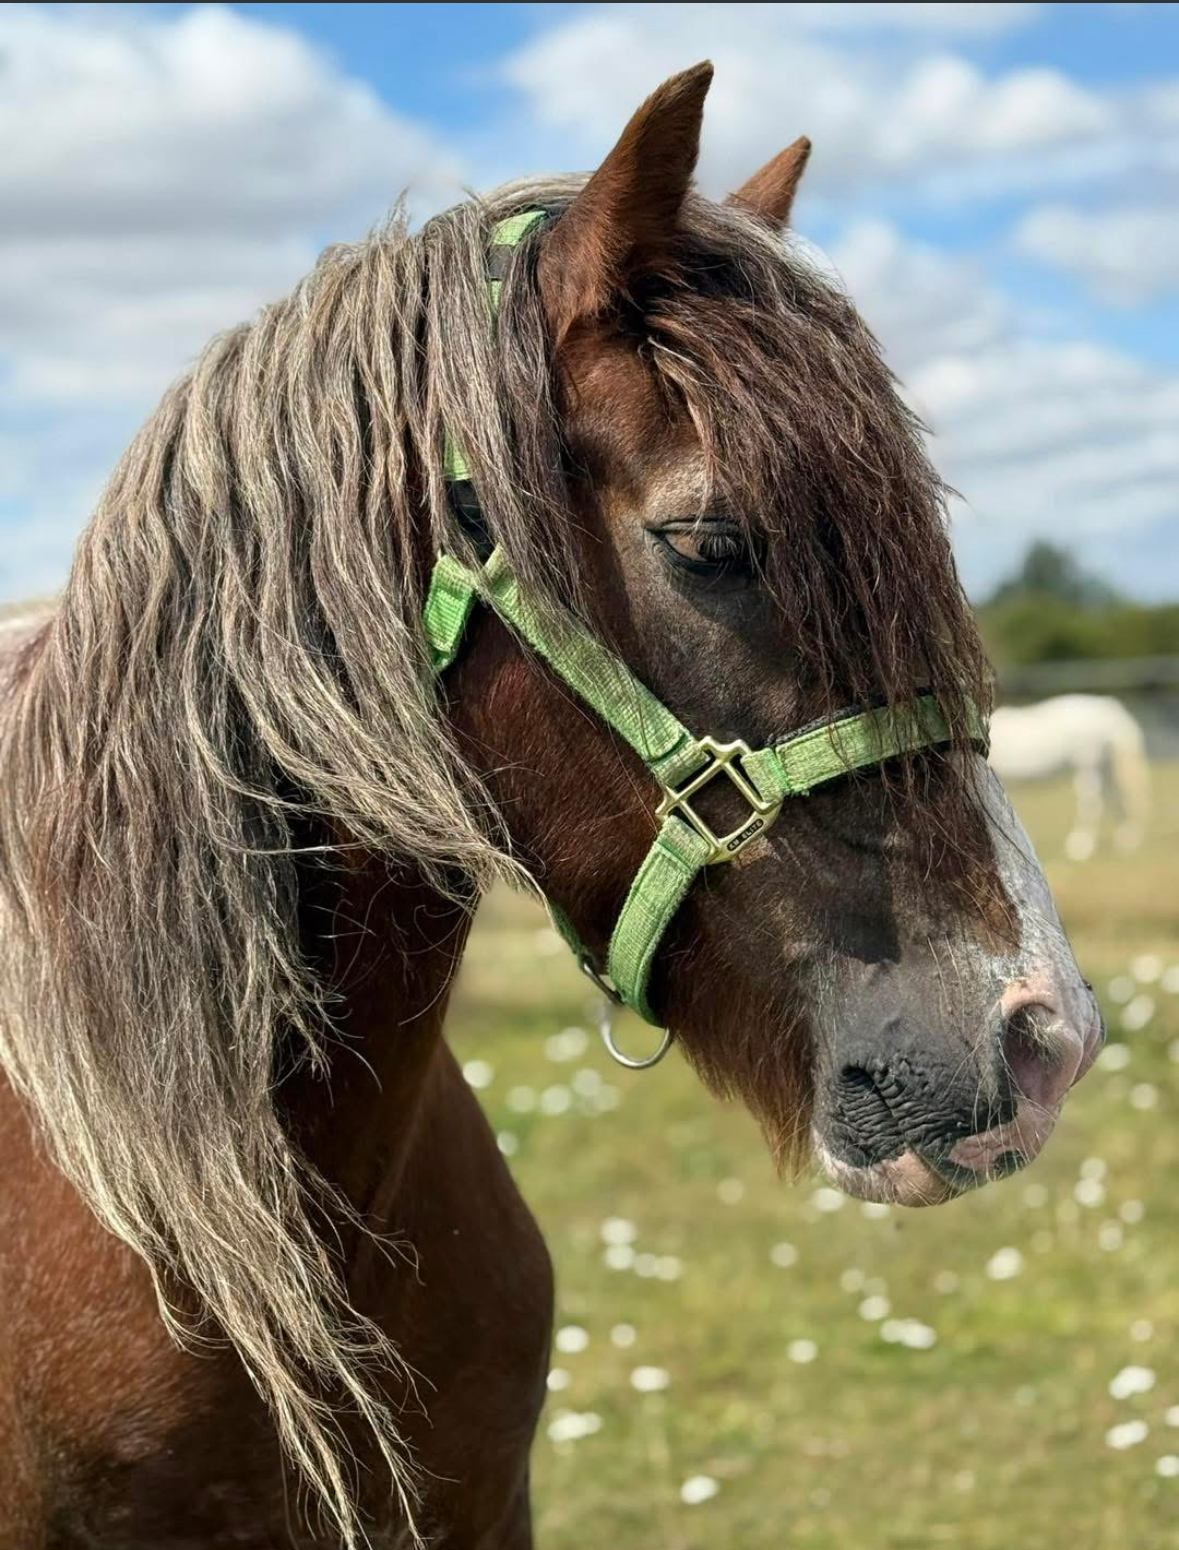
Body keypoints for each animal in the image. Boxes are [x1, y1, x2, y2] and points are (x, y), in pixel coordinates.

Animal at [988, 693, 1151, 860]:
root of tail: (1109, 710)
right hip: (1104, 767)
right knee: (1115, 796)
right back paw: (1126, 838)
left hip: (1088, 766)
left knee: (1093, 803)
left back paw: (1081, 846)